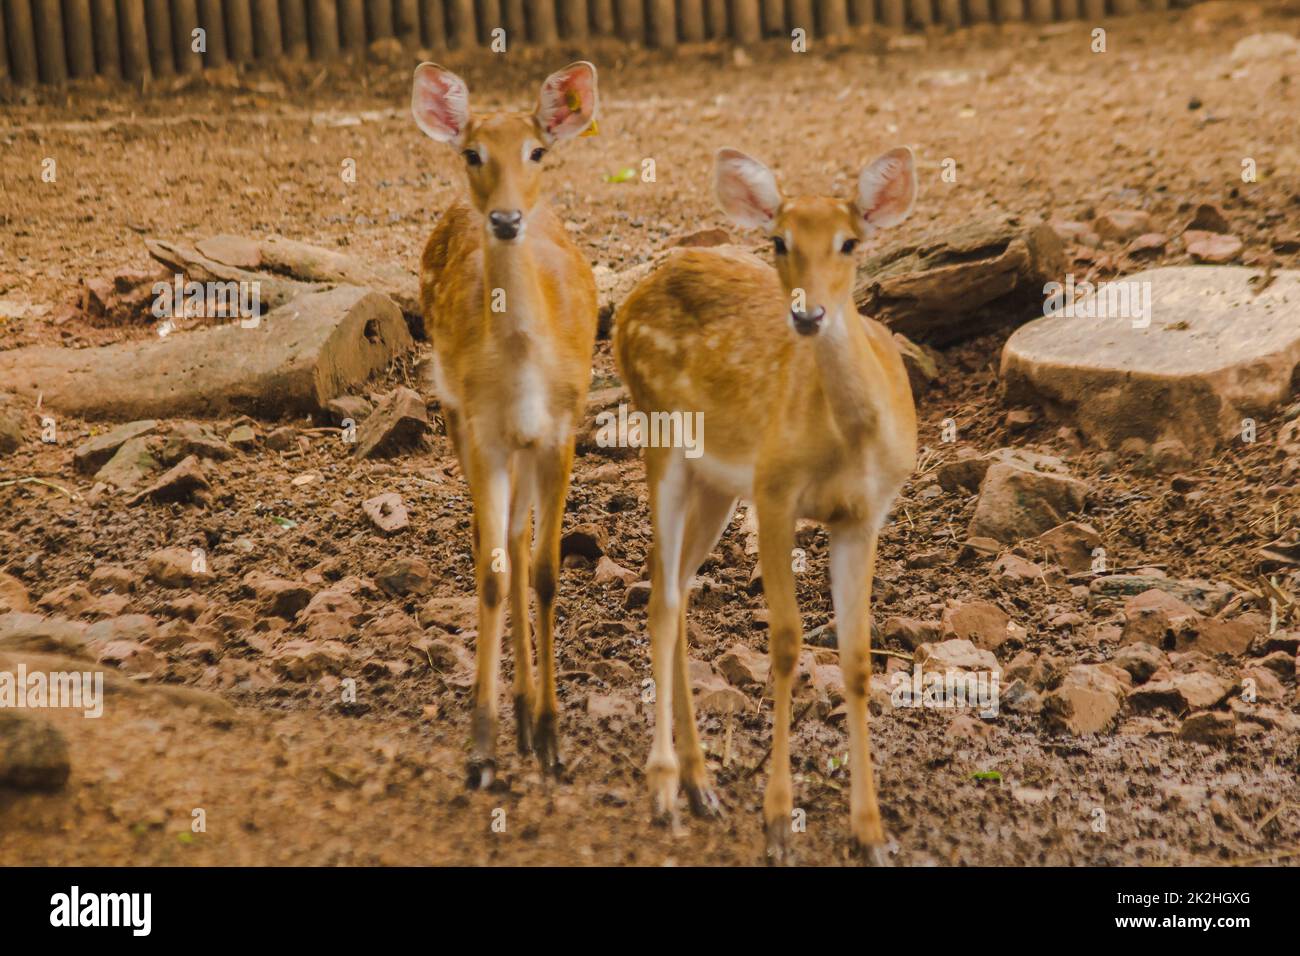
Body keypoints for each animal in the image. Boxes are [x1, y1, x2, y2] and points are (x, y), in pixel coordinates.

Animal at [411, 61, 599, 788]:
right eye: (472, 154)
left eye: (537, 151)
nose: (506, 218)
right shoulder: (485, 430)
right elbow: (492, 573)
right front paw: (481, 748)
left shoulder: (564, 428)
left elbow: (545, 571)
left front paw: (552, 740)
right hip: (455, 415)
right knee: (494, 544)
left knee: (520, 543)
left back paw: (529, 720)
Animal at [613, 146, 919, 862]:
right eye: (779, 241)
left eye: (850, 242)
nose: (808, 316)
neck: (850, 438)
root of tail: (625, 305)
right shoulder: (775, 494)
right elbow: (785, 643)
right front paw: (778, 820)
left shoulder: (866, 515)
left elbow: (857, 659)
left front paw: (871, 833)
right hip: (663, 437)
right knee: (662, 596)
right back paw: (666, 789)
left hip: (718, 484)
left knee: (677, 586)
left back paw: (702, 785)